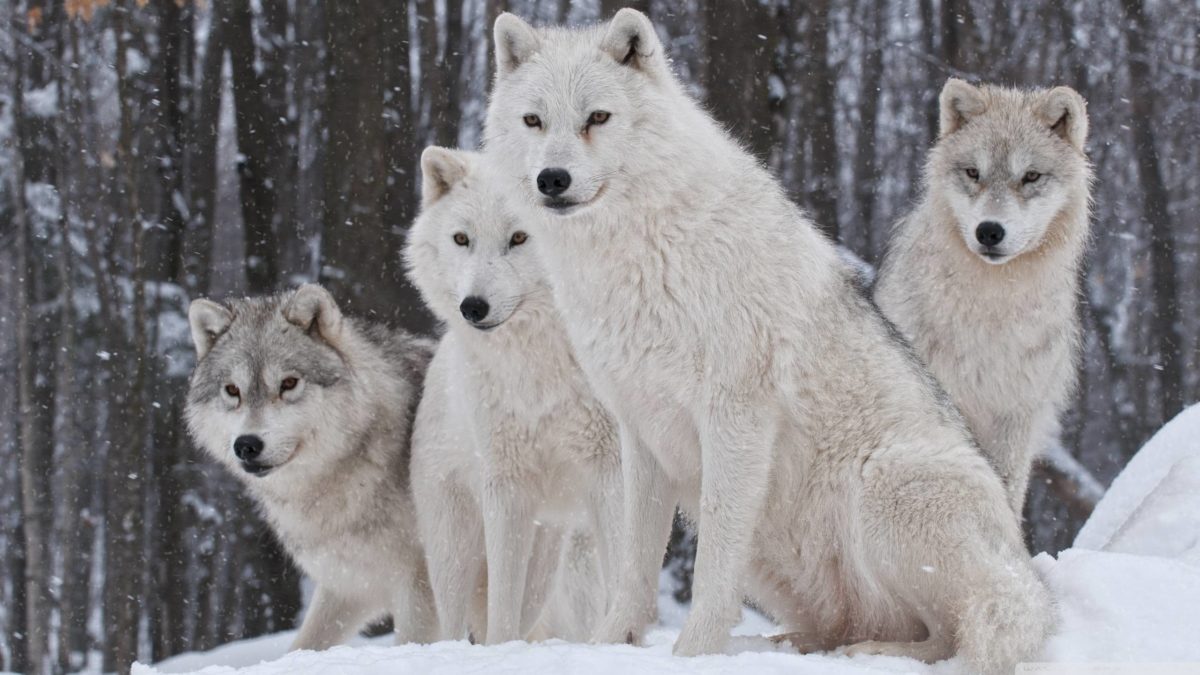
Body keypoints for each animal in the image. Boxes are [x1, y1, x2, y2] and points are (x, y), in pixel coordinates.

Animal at [185, 284, 438, 650]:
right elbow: (304, 645)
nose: (247, 445)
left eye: (289, 383)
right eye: (232, 390)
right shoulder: (348, 584)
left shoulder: (421, 584)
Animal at [404, 147, 622, 644]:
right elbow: (502, 606)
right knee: (455, 623)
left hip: (551, 557)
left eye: (521, 237)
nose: (472, 307)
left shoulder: (612, 471)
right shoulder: (506, 486)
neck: (542, 365)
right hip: (455, 550)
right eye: (461, 239)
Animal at [483, 10, 1052, 674]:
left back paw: (867, 652)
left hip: (887, 482)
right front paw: (609, 645)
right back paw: (788, 645)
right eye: (534, 120)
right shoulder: (641, 429)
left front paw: (693, 654)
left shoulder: (735, 417)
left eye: (597, 118)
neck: (640, 253)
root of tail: (1026, 574)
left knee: (951, 634)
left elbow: (711, 566)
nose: (553, 179)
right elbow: (633, 563)